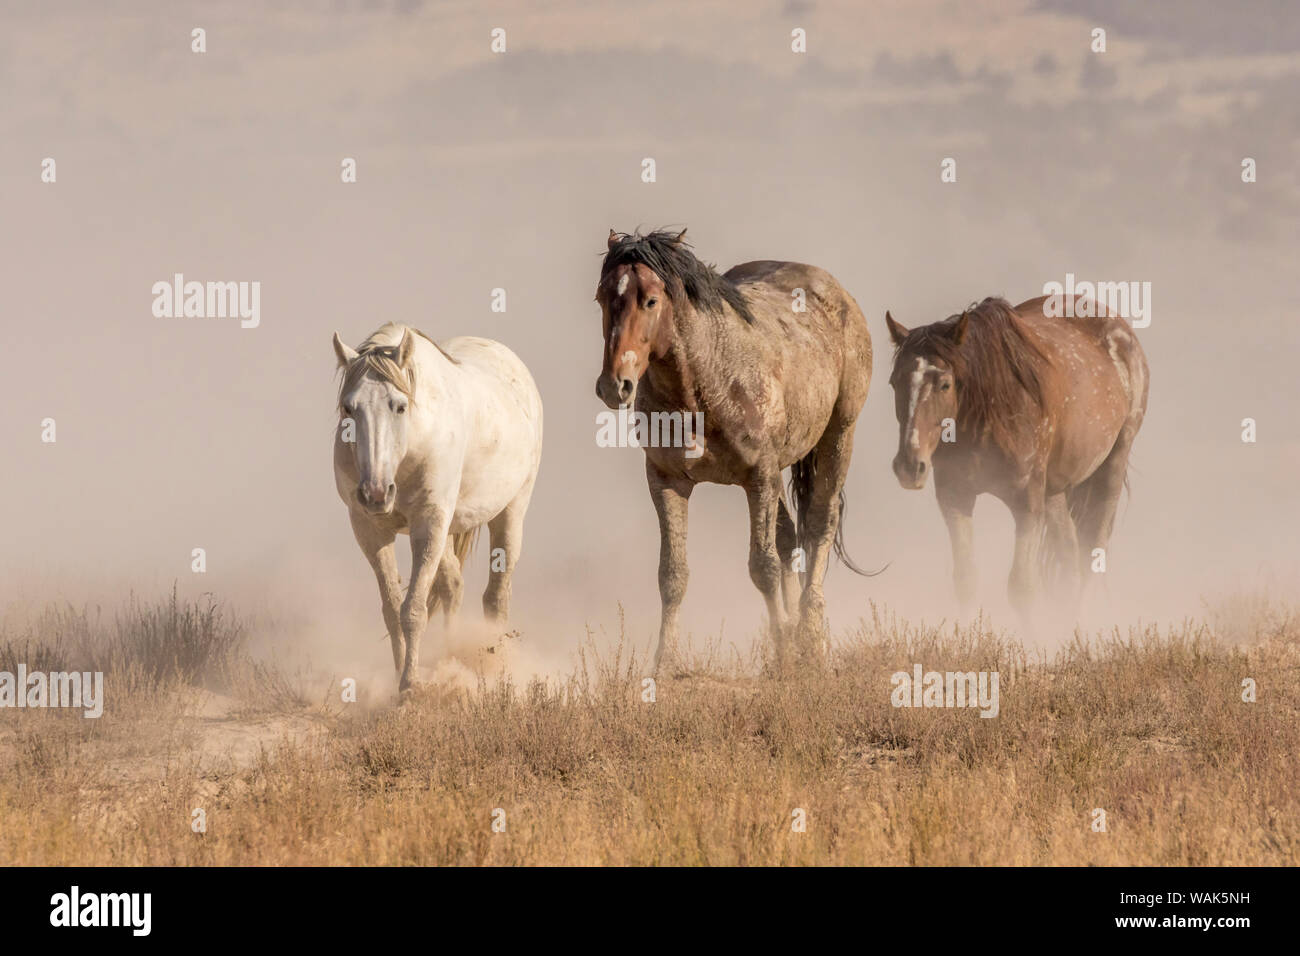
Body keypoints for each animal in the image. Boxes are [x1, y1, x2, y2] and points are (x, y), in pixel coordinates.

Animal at [332, 323, 543, 692]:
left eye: (399, 406)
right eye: (348, 408)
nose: (375, 493)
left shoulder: (428, 522)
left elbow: (413, 610)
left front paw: (408, 687)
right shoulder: (370, 529)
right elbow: (392, 611)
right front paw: (397, 678)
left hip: (510, 512)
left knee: (496, 598)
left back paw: (495, 667)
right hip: (445, 529)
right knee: (452, 587)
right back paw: (448, 658)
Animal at [593, 228, 878, 672]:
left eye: (651, 300)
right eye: (602, 298)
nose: (614, 385)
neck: (706, 381)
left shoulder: (758, 477)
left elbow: (763, 567)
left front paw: (783, 657)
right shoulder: (666, 480)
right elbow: (672, 575)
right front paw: (665, 664)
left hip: (838, 437)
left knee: (819, 525)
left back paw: (811, 640)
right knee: (789, 536)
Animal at [884, 295, 1148, 620]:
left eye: (945, 384)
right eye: (894, 382)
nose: (909, 466)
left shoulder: (1027, 504)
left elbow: (1022, 588)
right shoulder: (955, 496)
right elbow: (966, 580)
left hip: (1111, 468)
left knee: (1090, 559)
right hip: (1054, 492)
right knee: (1069, 560)